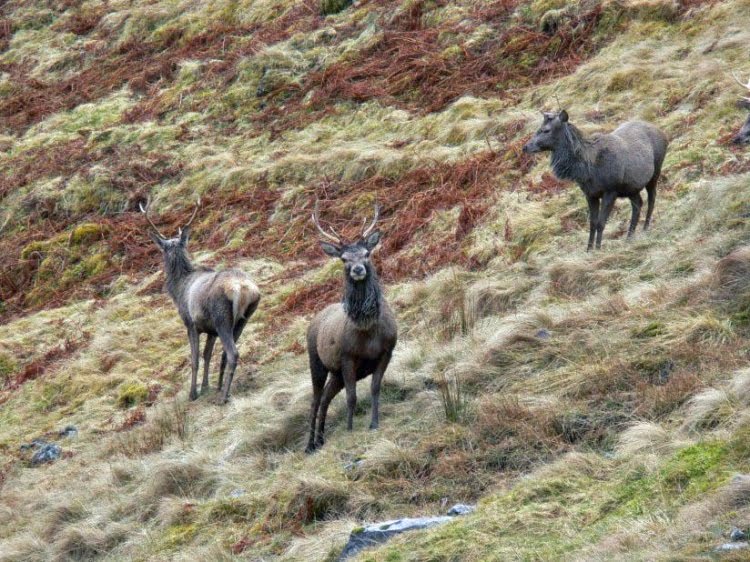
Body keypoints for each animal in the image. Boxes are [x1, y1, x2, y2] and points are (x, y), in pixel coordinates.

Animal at [140, 199, 260, 404]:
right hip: (243, 318)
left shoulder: (191, 323)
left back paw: (223, 398)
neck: (178, 288)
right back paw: (221, 388)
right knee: (225, 354)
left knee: (233, 353)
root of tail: (243, 289)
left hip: (222, 318)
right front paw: (205, 386)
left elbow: (195, 358)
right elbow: (207, 355)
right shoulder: (210, 329)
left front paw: (193, 393)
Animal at [305, 201, 398, 453]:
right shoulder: (347, 357)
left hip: (335, 373)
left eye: (367, 253)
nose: (358, 269)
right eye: (344, 258)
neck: (368, 331)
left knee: (326, 398)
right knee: (315, 399)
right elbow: (352, 397)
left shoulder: (387, 351)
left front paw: (374, 423)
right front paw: (349, 429)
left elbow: (375, 388)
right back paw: (309, 444)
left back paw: (321, 439)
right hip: (316, 361)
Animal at [523, 110, 668, 250]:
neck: (588, 170)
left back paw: (645, 228)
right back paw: (629, 236)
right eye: (538, 128)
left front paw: (598, 248)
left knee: (652, 198)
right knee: (638, 203)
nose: (525, 147)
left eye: (546, 130)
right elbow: (592, 223)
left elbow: (600, 223)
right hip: (631, 188)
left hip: (655, 172)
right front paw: (588, 249)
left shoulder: (611, 191)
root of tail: (663, 133)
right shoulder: (590, 194)